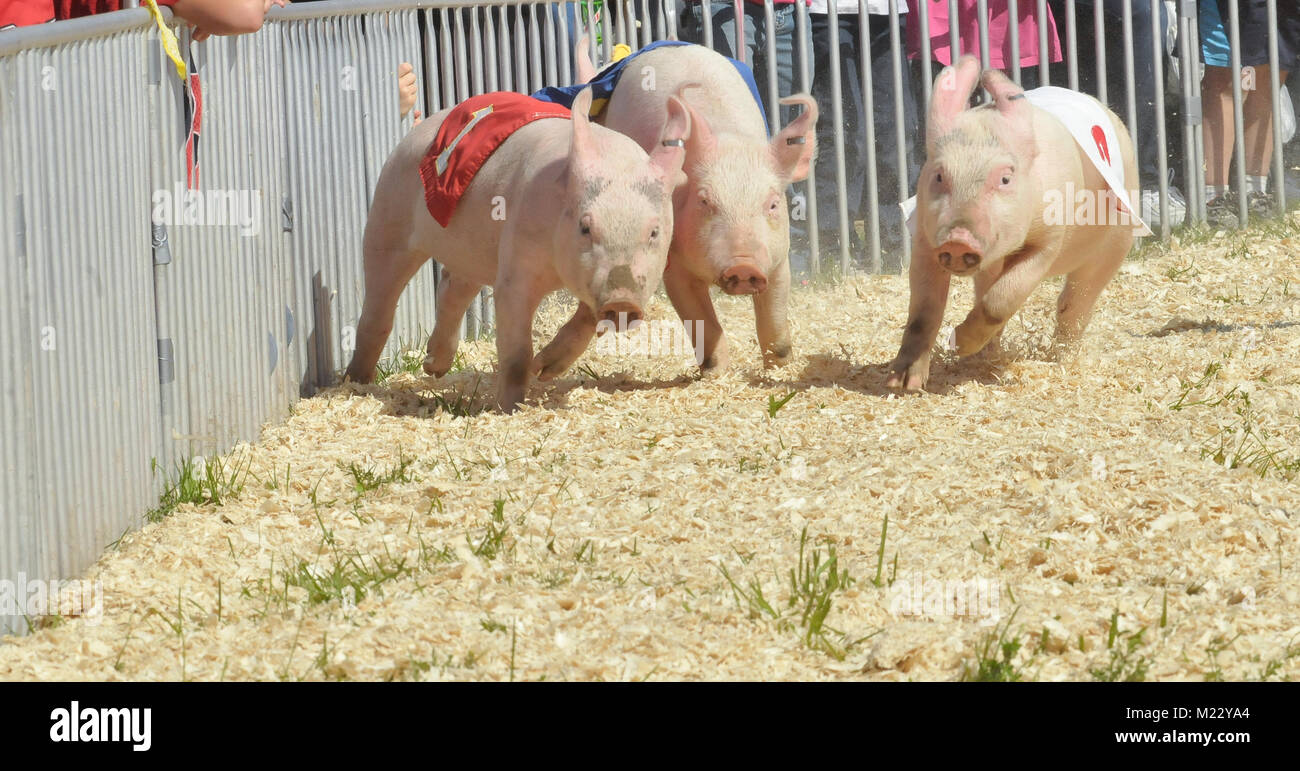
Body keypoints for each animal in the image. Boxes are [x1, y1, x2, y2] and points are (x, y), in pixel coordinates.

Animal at [344, 88, 690, 412]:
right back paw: (356, 382)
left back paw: (435, 369)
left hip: (472, 251)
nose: (622, 300)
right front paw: (510, 407)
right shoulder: (514, 266)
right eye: (586, 227)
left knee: (452, 288)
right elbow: (516, 352)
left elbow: (586, 320)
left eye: (654, 232)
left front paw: (546, 371)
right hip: (389, 214)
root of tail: (421, 128)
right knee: (380, 302)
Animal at [530, 43, 818, 380]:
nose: (744, 265)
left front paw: (780, 368)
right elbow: (701, 320)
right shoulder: (674, 261)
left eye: (772, 204)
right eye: (705, 201)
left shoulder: (776, 258)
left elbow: (774, 322)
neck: (730, 140)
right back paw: (541, 369)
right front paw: (714, 373)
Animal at [886, 56, 1136, 390]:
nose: (957, 238)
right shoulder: (926, 241)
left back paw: (1060, 358)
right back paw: (984, 358)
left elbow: (1002, 299)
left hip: (1118, 237)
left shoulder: (1048, 241)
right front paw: (902, 384)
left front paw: (958, 343)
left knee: (1076, 301)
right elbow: (923, 312)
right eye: (939, 176)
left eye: (1005, 178)